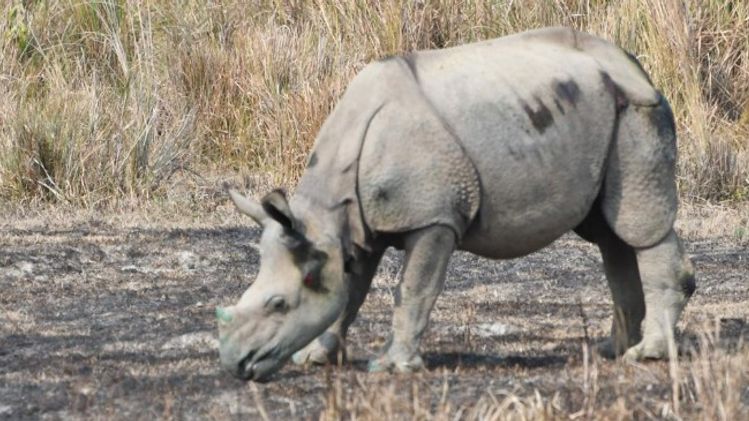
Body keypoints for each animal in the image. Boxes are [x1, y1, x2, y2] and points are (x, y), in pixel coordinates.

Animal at [216, 27, 696, 381]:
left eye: (277, 305)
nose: (237, 365)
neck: (327, 212)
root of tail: (635, 65)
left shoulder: (433, 218)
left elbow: (414, 289)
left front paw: (394, 367)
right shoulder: (356, 227)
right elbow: (349, 292)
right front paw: (316, 358)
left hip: (635, 109)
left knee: (638, 227)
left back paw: (647, 355)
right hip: (600, 110)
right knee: (609, 233)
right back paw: (611, 350)